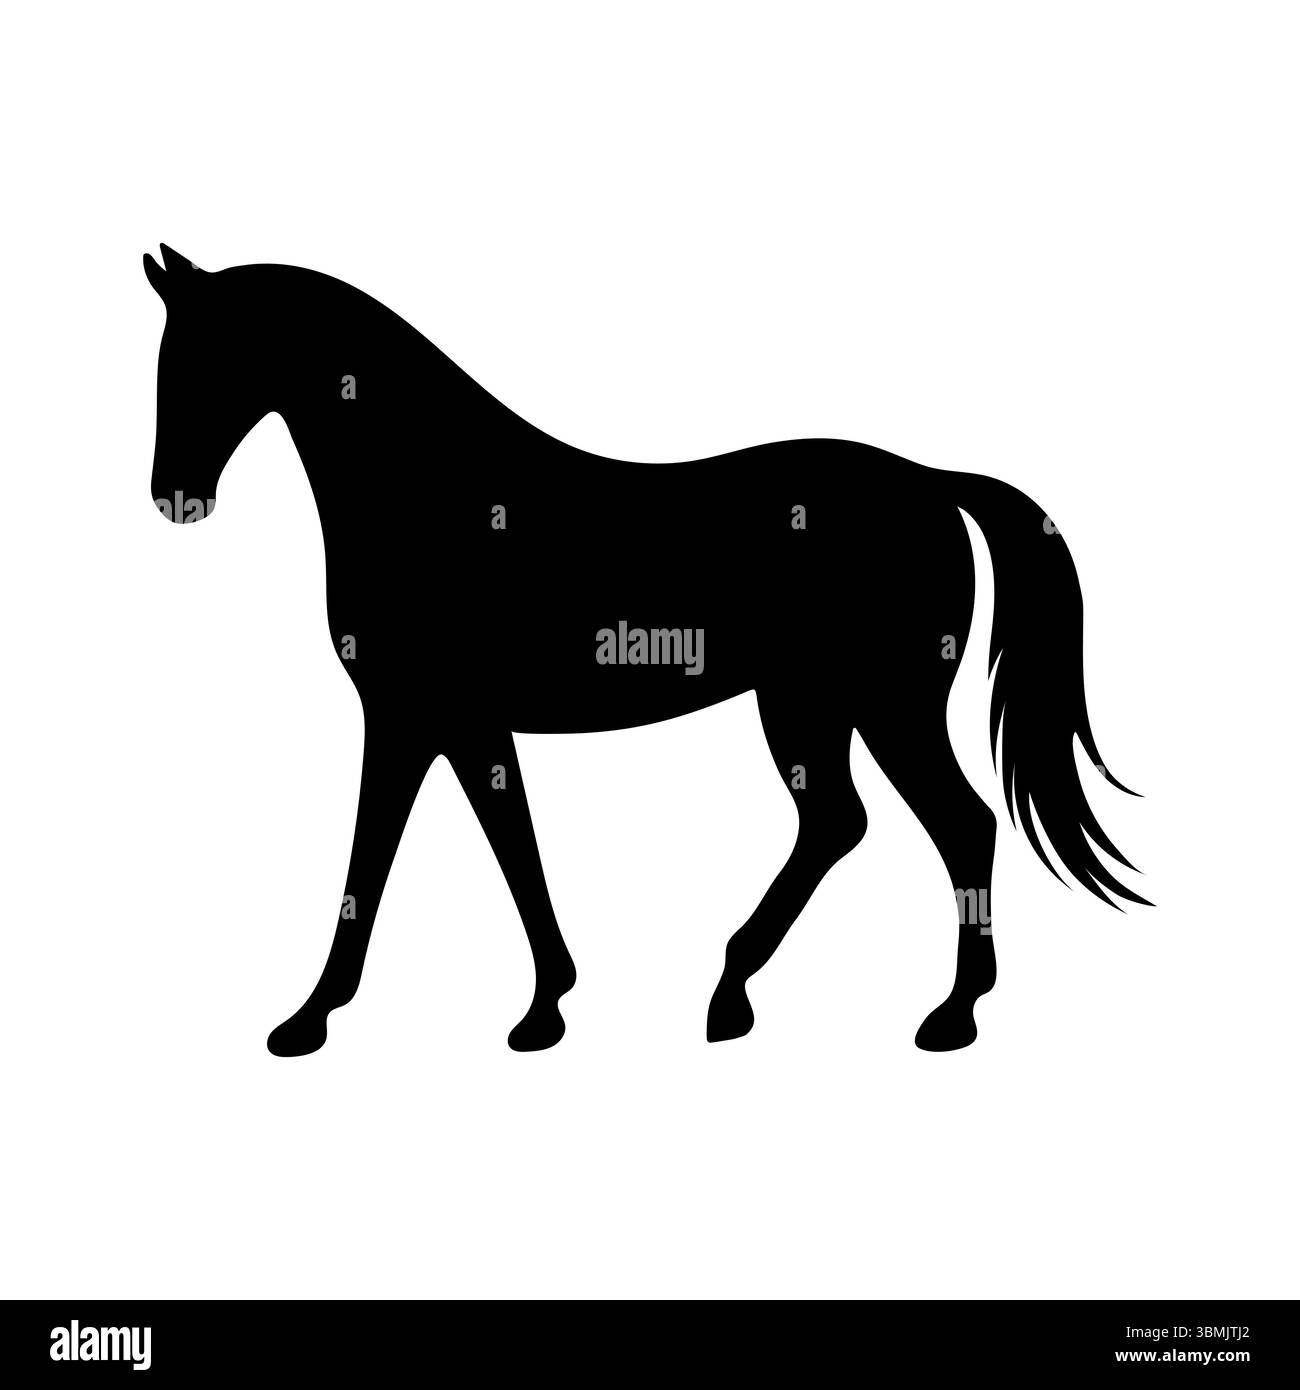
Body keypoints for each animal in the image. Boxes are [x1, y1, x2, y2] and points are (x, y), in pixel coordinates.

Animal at [144, 244, 1147, 1058]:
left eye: (203, 358)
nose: (175, 498)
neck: (431, 490)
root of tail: (932, 483)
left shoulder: (409, 718)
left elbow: (376, 860)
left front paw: (311, 1019)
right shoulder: (459, 725)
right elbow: (507, 846)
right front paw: (541, 1007)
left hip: (883, 704)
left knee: (957, 824)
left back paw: (947, 1017)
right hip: (808, 703)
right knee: (839, 823)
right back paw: (734, 994)